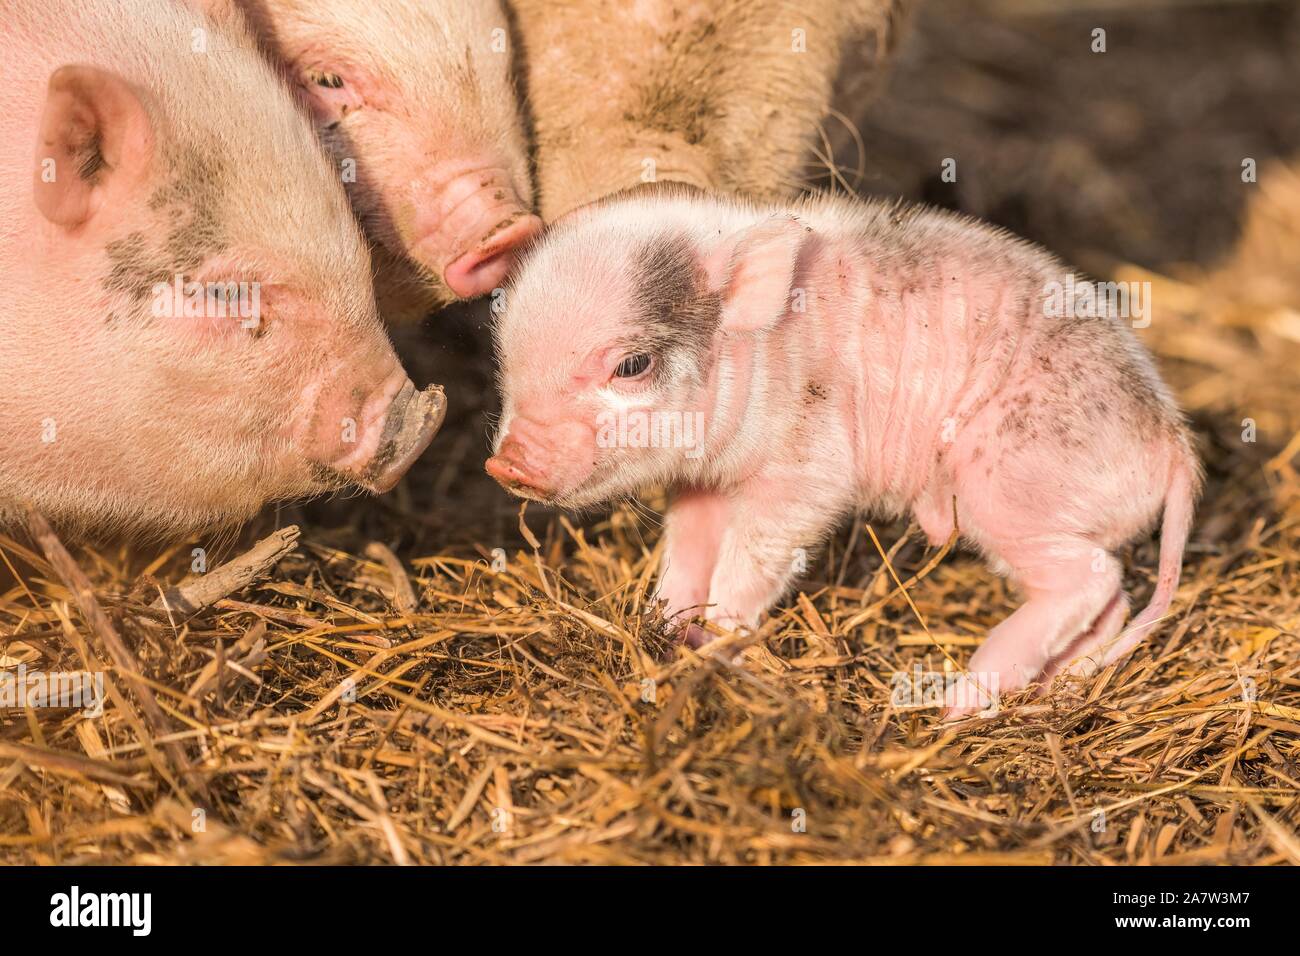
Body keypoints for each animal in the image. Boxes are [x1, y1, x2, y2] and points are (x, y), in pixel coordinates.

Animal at [486, 185, 1201, 716]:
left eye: (632, 365)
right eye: (505, 358)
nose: (504, 464)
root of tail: (1173, 444)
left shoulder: (804, 471)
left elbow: (758, 552)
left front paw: (717, 639)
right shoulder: (704, 482)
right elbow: (687, 549)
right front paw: (663, 625)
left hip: (1009, 488)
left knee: (1089, 578)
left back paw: (956, 704)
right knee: (1114, 598)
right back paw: (1059, 686)